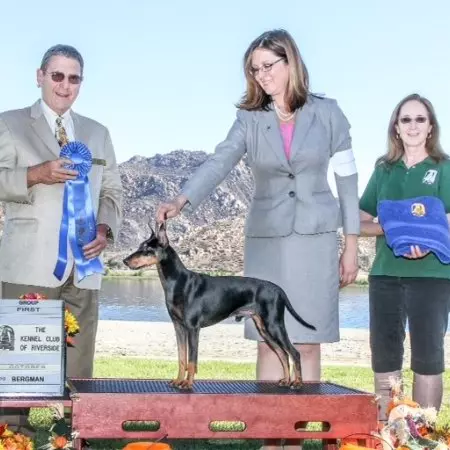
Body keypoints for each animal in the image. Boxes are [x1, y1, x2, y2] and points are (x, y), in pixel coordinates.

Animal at [121, 223, 314, 388]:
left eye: (147, 250)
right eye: (140, 246)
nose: (125, 261)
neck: (177, 281)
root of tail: (279, 289)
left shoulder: (193, 328)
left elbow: (192, 359)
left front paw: (188, 383)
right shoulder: (179, 327)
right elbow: (182, 358)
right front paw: (178, 381)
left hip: (274, 325)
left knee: (294, 352)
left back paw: (297, 383)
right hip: (264, 329)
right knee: (282, 353)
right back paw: (286, 380)